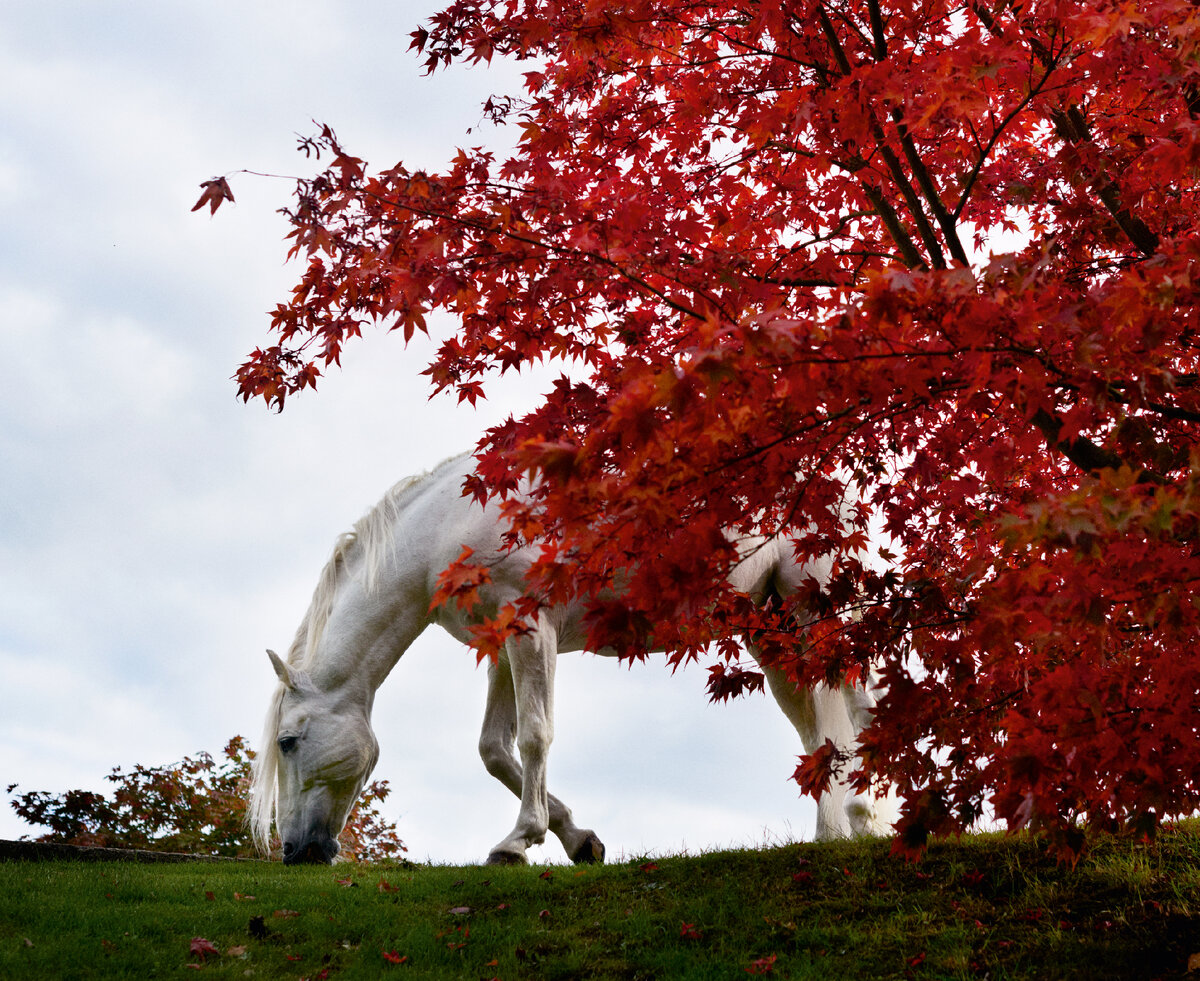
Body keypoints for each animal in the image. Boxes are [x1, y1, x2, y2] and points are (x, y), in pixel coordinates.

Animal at [248, 453, 897, 863]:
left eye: (288, 741)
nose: (295, 853)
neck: (450, 525)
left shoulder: (532, 630)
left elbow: (536, 735)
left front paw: (517, 843)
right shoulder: (502, 646)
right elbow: (494, 749)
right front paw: (578, 839)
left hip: (821, 611)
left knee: (863, 709)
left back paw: (865, 815)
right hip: (774, 636)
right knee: (819, 734)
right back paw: (833, 833)